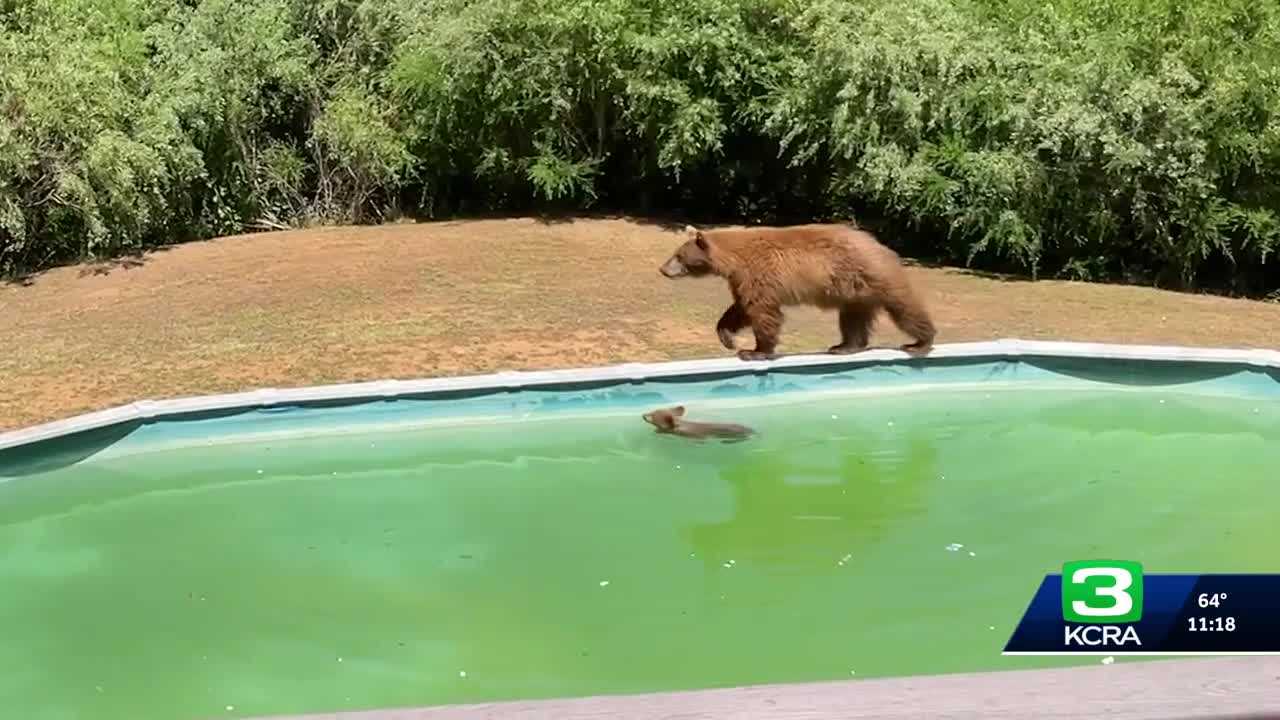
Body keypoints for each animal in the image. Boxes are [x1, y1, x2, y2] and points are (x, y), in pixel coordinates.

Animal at [658, 223, 936, 361]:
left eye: (678, 255)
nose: (663, 269)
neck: (734, 260)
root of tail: (879, 245)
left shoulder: (759, 274)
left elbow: (762, 312)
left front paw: (755, 351)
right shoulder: (741, 280)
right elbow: (740, 308)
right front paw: (728, 338)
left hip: (873, 276)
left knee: (904, 308)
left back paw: (919, 342)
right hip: (854, 291)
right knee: (852, 319)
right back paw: (843, 346)